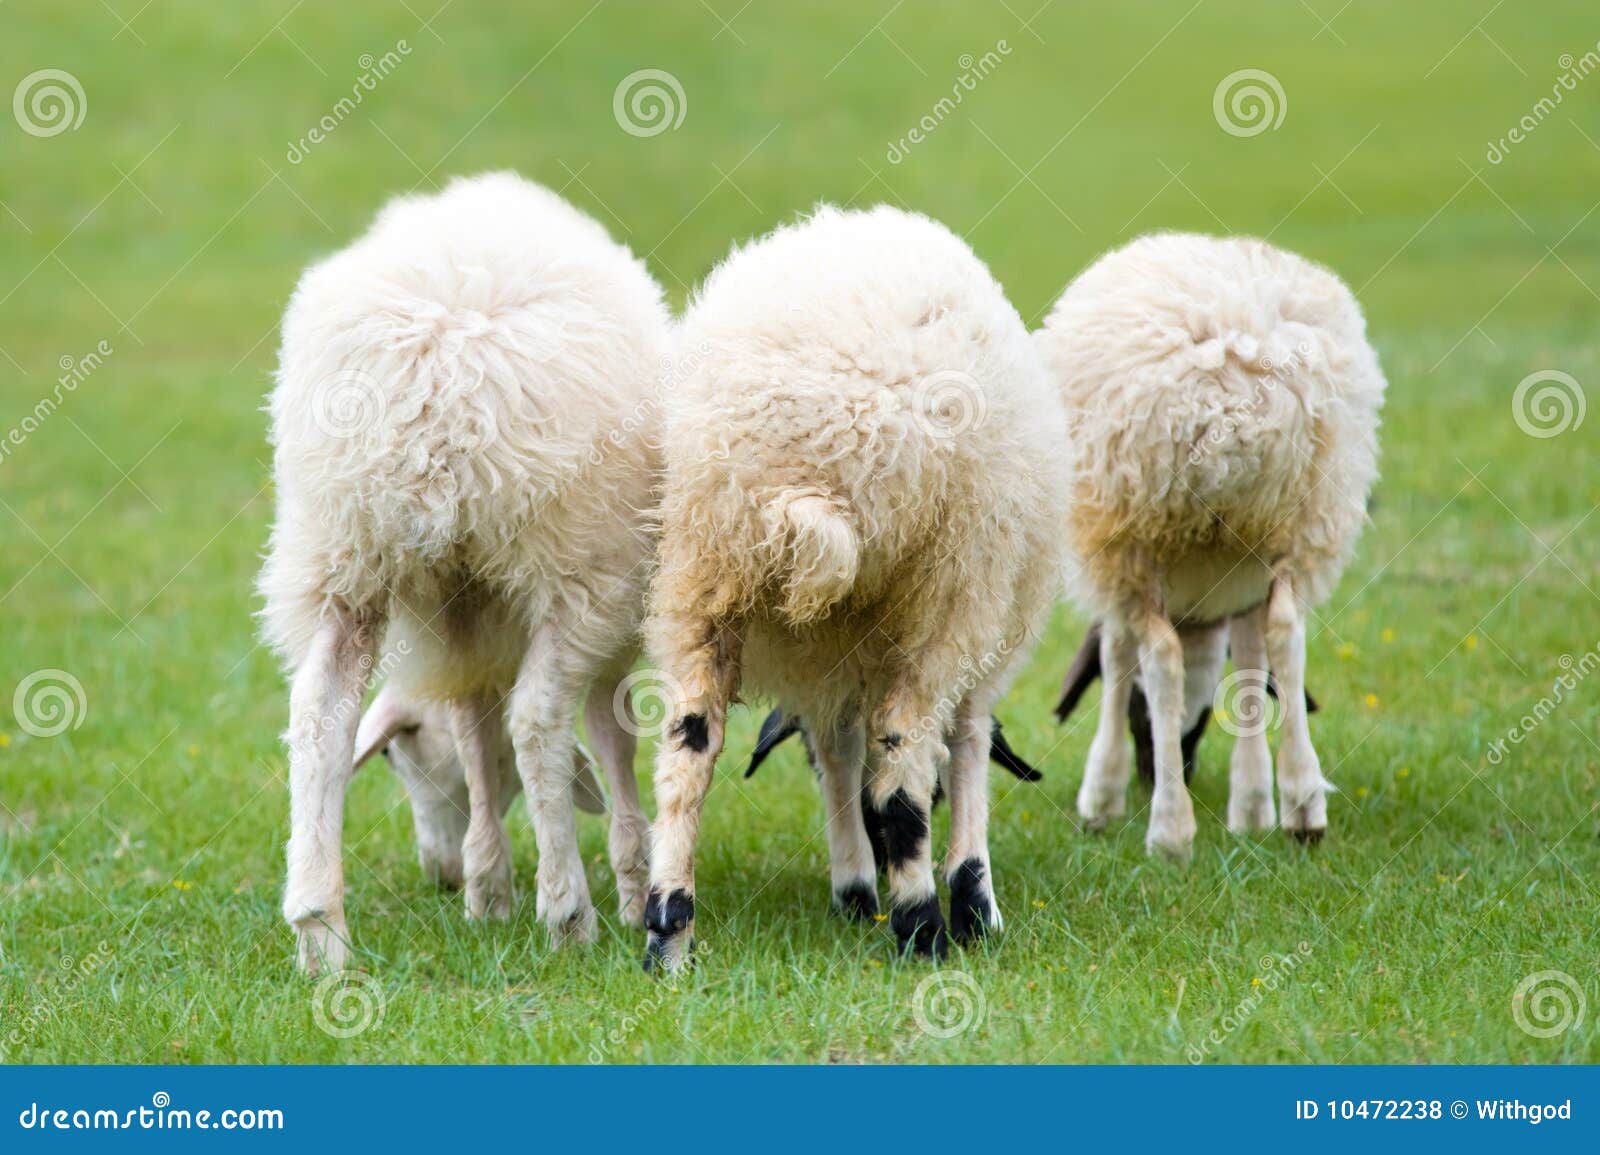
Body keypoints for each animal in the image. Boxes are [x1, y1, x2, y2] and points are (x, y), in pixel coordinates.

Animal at [258, 172, 669, 972]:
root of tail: (440, 368)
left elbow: (476, 734)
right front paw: (630, 886)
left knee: (320, 714)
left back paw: (321, 931)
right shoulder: (595, 616)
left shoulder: (468, 611)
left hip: (341, 542)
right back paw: (567, 910)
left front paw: (486, 889)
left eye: (397, 761)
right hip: (574, 557)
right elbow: (607, 738)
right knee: (538, 715)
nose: (438, 873)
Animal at [641, 205, 1069, 970]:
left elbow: (838, 754)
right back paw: (923, 927)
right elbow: (965, 744)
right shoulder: (980, 632)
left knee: (688, 746)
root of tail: (800, 471)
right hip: (947, 585)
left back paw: (668, 933)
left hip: (701, 574)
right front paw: (974, 904)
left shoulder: (830, 663)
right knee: (902, 752)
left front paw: (853, 886)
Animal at [1035, 232, 1384, 857]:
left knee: (1163, 655)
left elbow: (1117, 653)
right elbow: (1248, 658)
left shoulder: (1111, 554)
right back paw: (1303, 804)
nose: (1160, 766)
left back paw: (1171, 832)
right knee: (1286, 632)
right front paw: (1253, 806)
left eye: (1143, 714)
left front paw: (1100, 797)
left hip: (1135, 530)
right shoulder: (1238, 567)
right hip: (1301, 517)